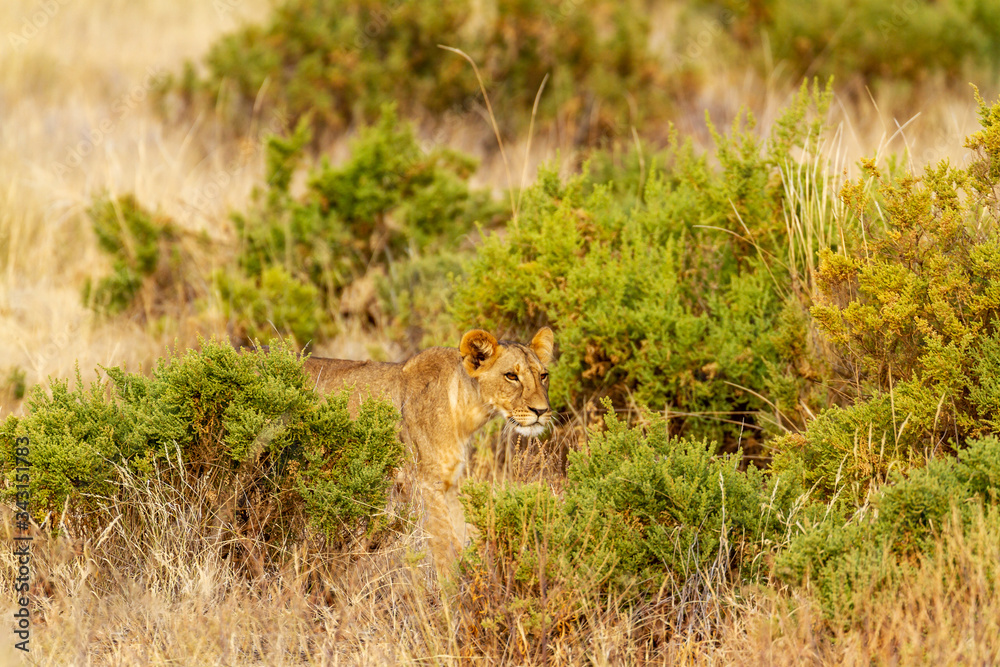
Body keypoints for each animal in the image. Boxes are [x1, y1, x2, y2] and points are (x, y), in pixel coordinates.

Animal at [303, 327, 554, 571]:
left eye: (543, 375)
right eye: (511, 376)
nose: (541, 411)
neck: (466, 411)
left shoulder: (440, 485)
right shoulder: (425, 484)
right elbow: (445, 551)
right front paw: (457, 585)